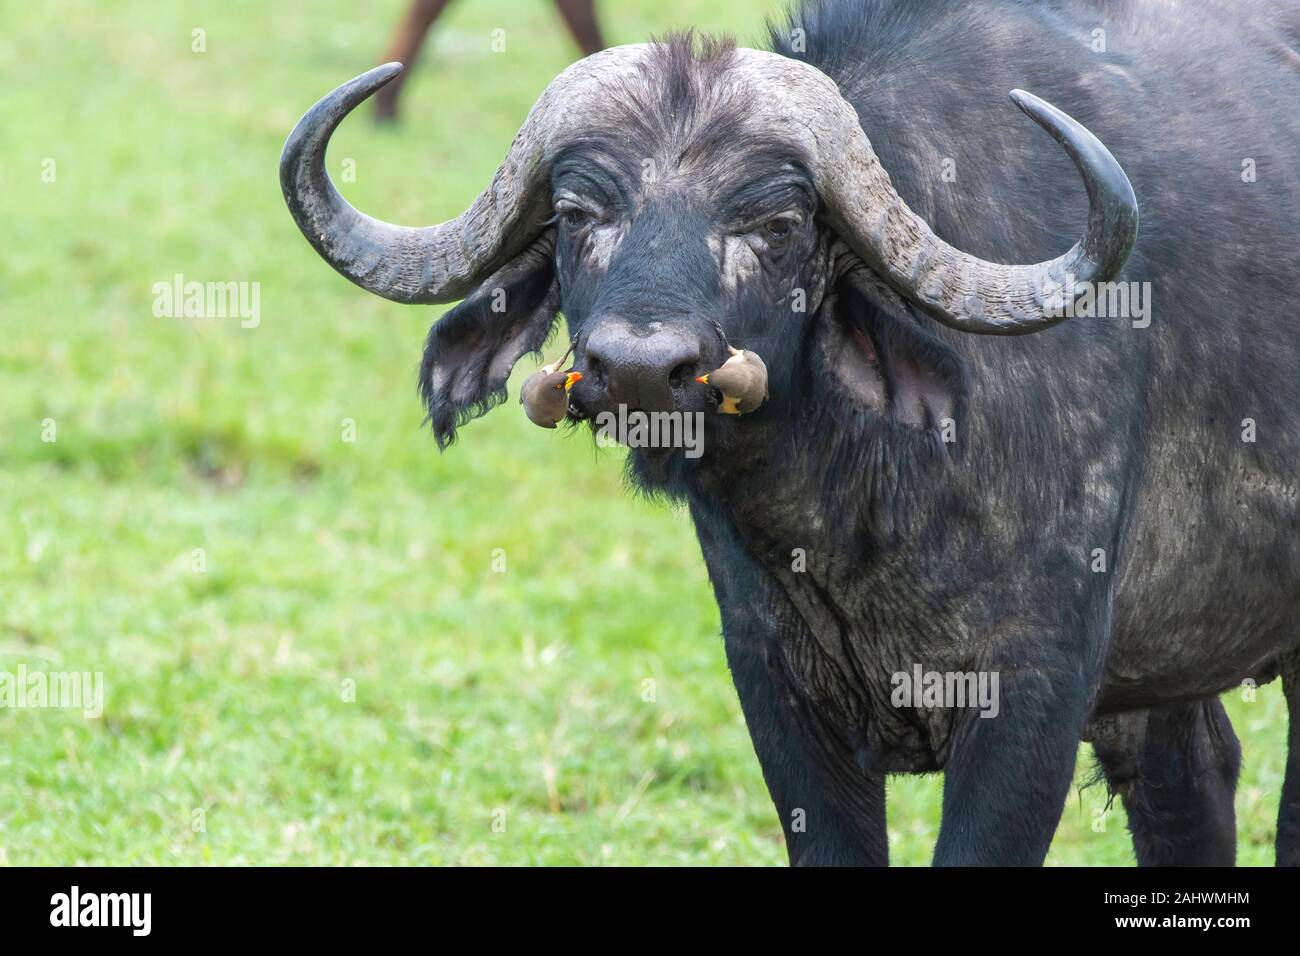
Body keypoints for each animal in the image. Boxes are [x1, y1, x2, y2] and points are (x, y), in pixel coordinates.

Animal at [281, 0, 1300, 865]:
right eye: (576, 214)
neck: (857, 506)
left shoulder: (1034, 697)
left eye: (776, 221)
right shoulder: (776, 690)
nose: (640, 368)